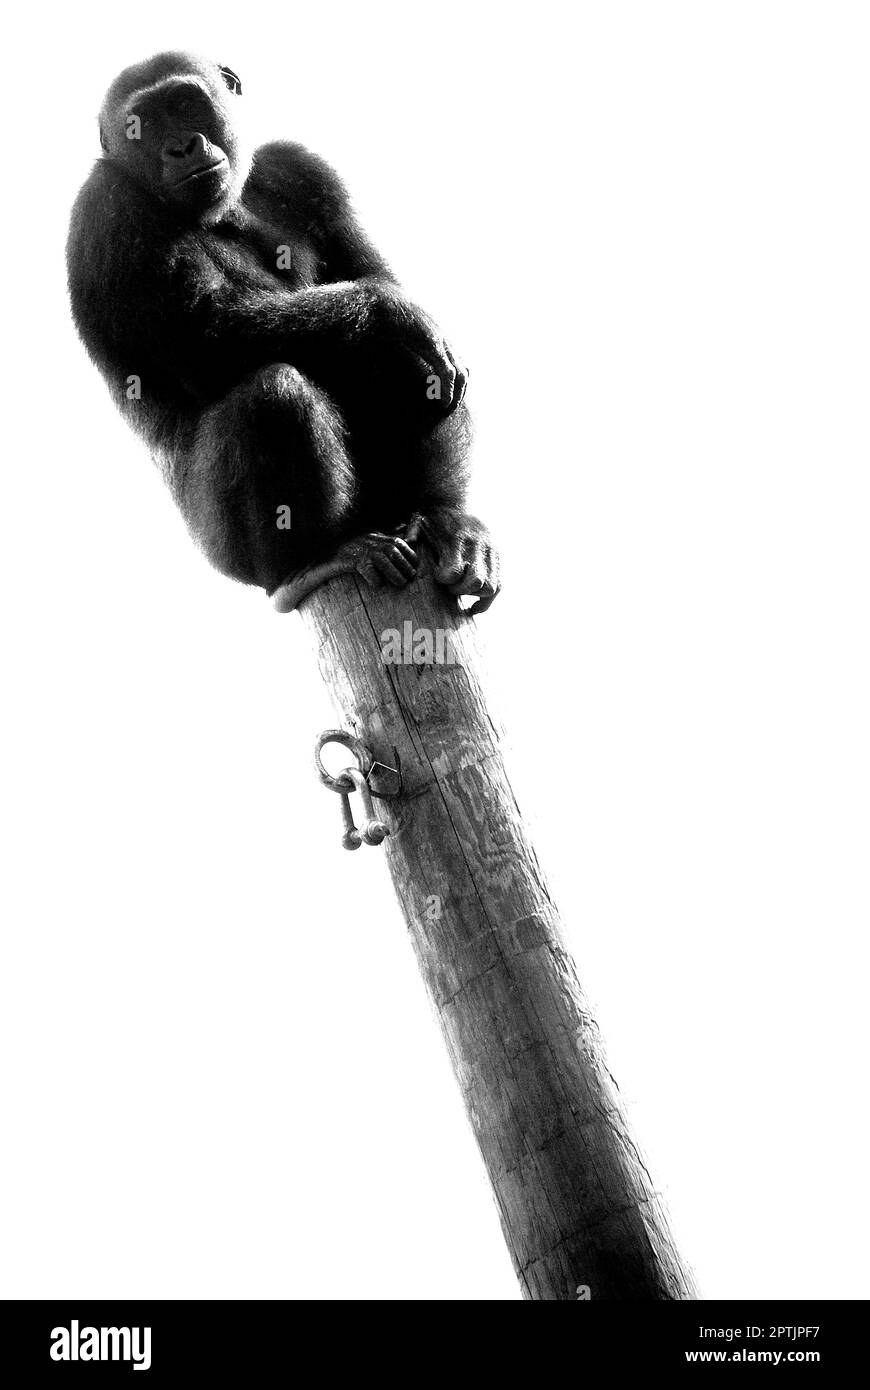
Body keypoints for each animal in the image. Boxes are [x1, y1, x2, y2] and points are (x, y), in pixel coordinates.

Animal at [67, 51, 499, 614]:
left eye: (184, 104)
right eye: (143, 125)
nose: (181, 146)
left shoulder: (303, 168)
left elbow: (378, 276)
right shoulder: (105, 208)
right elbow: (210, 336)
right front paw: (388, 314)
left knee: (417, 371)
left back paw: (442, 519)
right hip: (223, 556)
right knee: (274, 393)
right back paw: (309, 563)